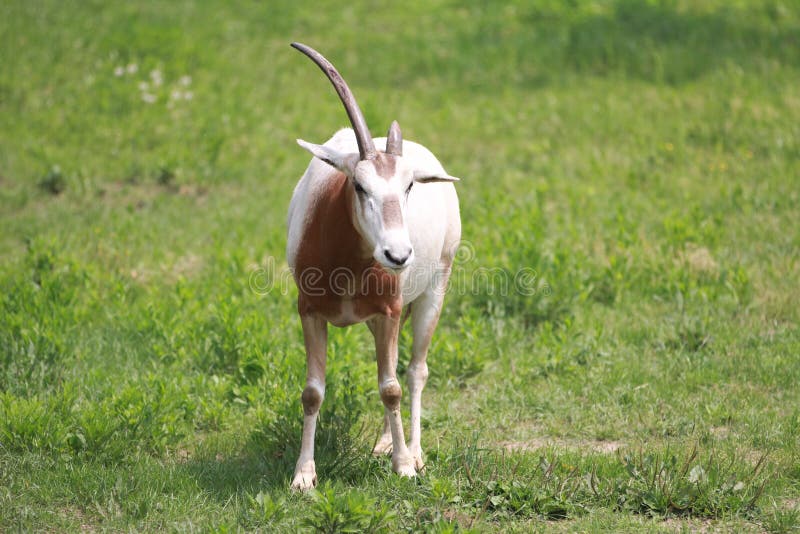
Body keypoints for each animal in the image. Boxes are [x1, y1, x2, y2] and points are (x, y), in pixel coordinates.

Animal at [286, 43, 461, 490]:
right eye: (359, 184)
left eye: (409, 186)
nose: (398, 256)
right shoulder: (309, 311)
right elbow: (313, 391)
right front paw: (303, 475)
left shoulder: (390, 311)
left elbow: (392, 387)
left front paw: (403, 466)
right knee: (395, 369)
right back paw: (385, 443)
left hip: (433, 292)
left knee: (414, 371)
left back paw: (414, 451)